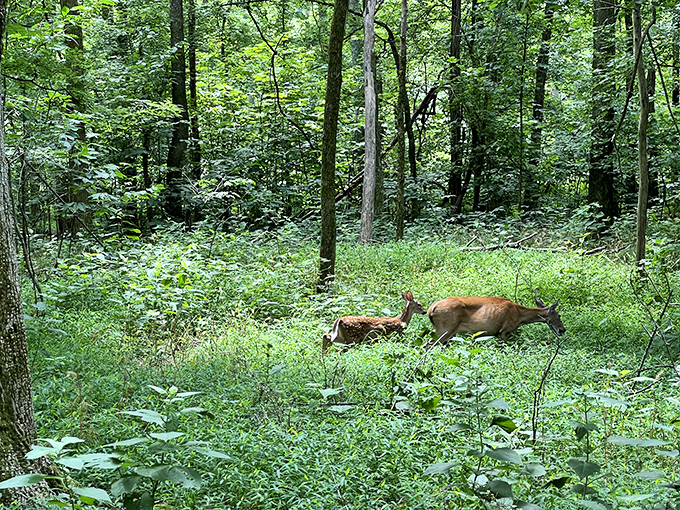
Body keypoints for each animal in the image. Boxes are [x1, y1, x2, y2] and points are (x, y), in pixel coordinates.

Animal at [427, 296, 565, 344]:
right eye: (559, 315)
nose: (563, 330)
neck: (519, 315)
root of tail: (432, 308)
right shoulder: (504, 331)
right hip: (445, 329)